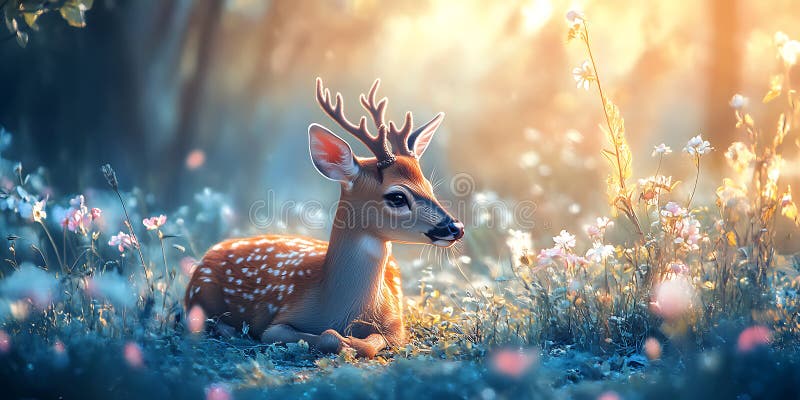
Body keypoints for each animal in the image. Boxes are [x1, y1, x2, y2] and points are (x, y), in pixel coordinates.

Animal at [184, 77, 464, 358]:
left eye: (428, 186)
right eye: (397, 196)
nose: (456, 227)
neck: (342, 309)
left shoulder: (397, 324)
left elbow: (374, 341)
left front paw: (353, 343)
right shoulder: (278, 321)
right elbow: (325, 336)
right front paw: (345, 343)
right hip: (198, 293)